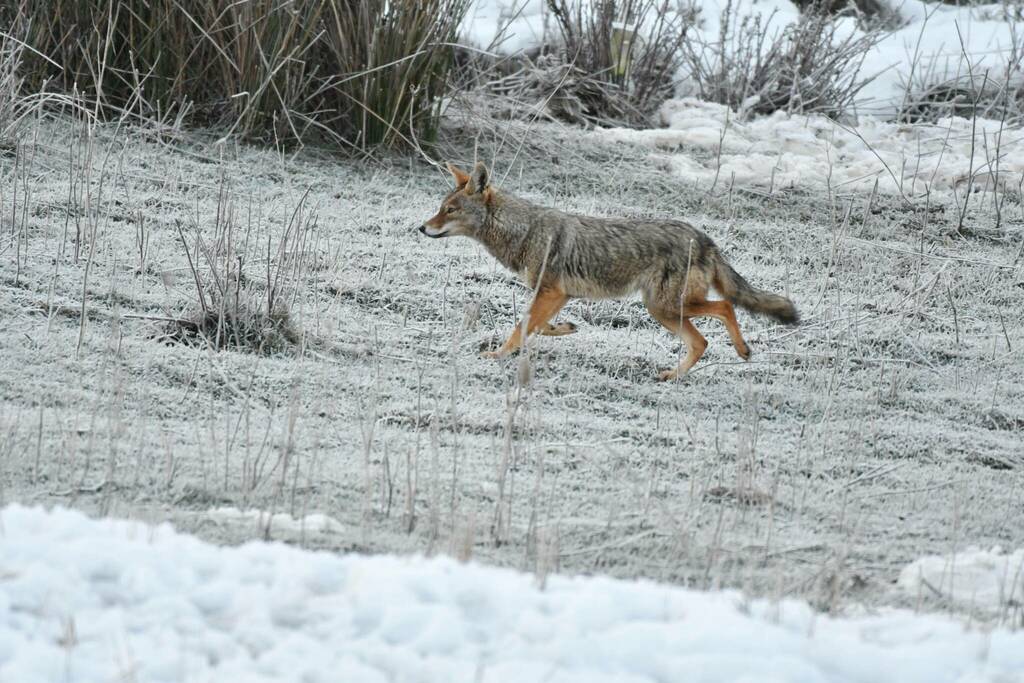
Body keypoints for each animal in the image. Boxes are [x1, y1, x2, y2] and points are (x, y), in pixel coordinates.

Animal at [419, 162, 799, 380]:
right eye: (440, 208)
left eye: (450, 210)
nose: (422, 228)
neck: (524, 231)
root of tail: (705, 239)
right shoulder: (558, 295)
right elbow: (538, 326)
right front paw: (566, 328)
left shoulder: (550, 292)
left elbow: (522, 327)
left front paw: (498, 354)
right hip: (665, 311)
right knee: (702, 340)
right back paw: (671, 377)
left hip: (664, 307)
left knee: (726, 307)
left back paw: (742, 350)